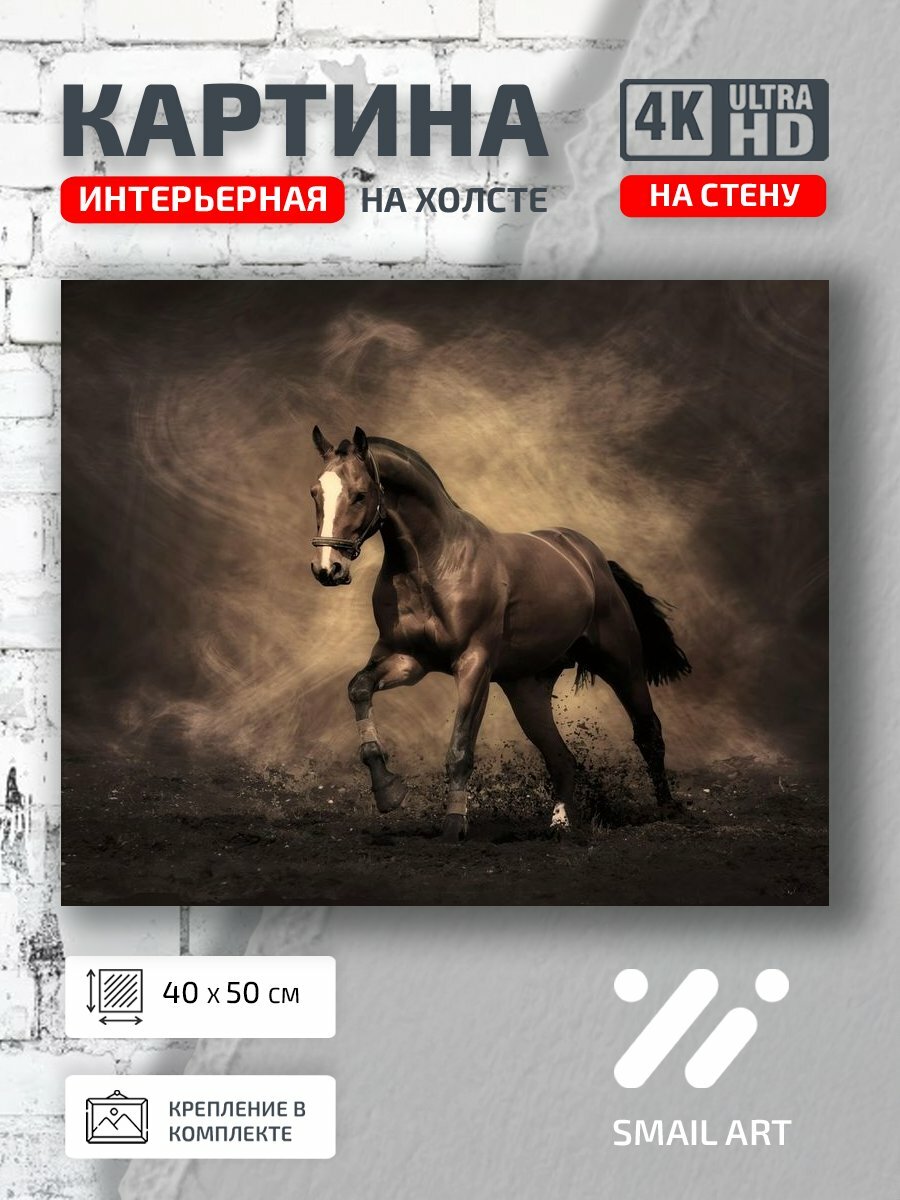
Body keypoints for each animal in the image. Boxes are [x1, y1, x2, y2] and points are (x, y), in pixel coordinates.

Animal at [309, 426, 691, 842]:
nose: (327, 569)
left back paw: (667, 810)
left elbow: (460, 749)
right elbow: (359, 689)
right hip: (527, 689)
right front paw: (388, 792)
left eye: (360, 494)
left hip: (621, 664)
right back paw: (561, 824)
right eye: (316, 493)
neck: (434, 564)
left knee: (648, 732)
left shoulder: (474, 665)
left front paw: (453, 826)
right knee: (561, 758)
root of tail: (590, 559)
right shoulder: (408, 660)